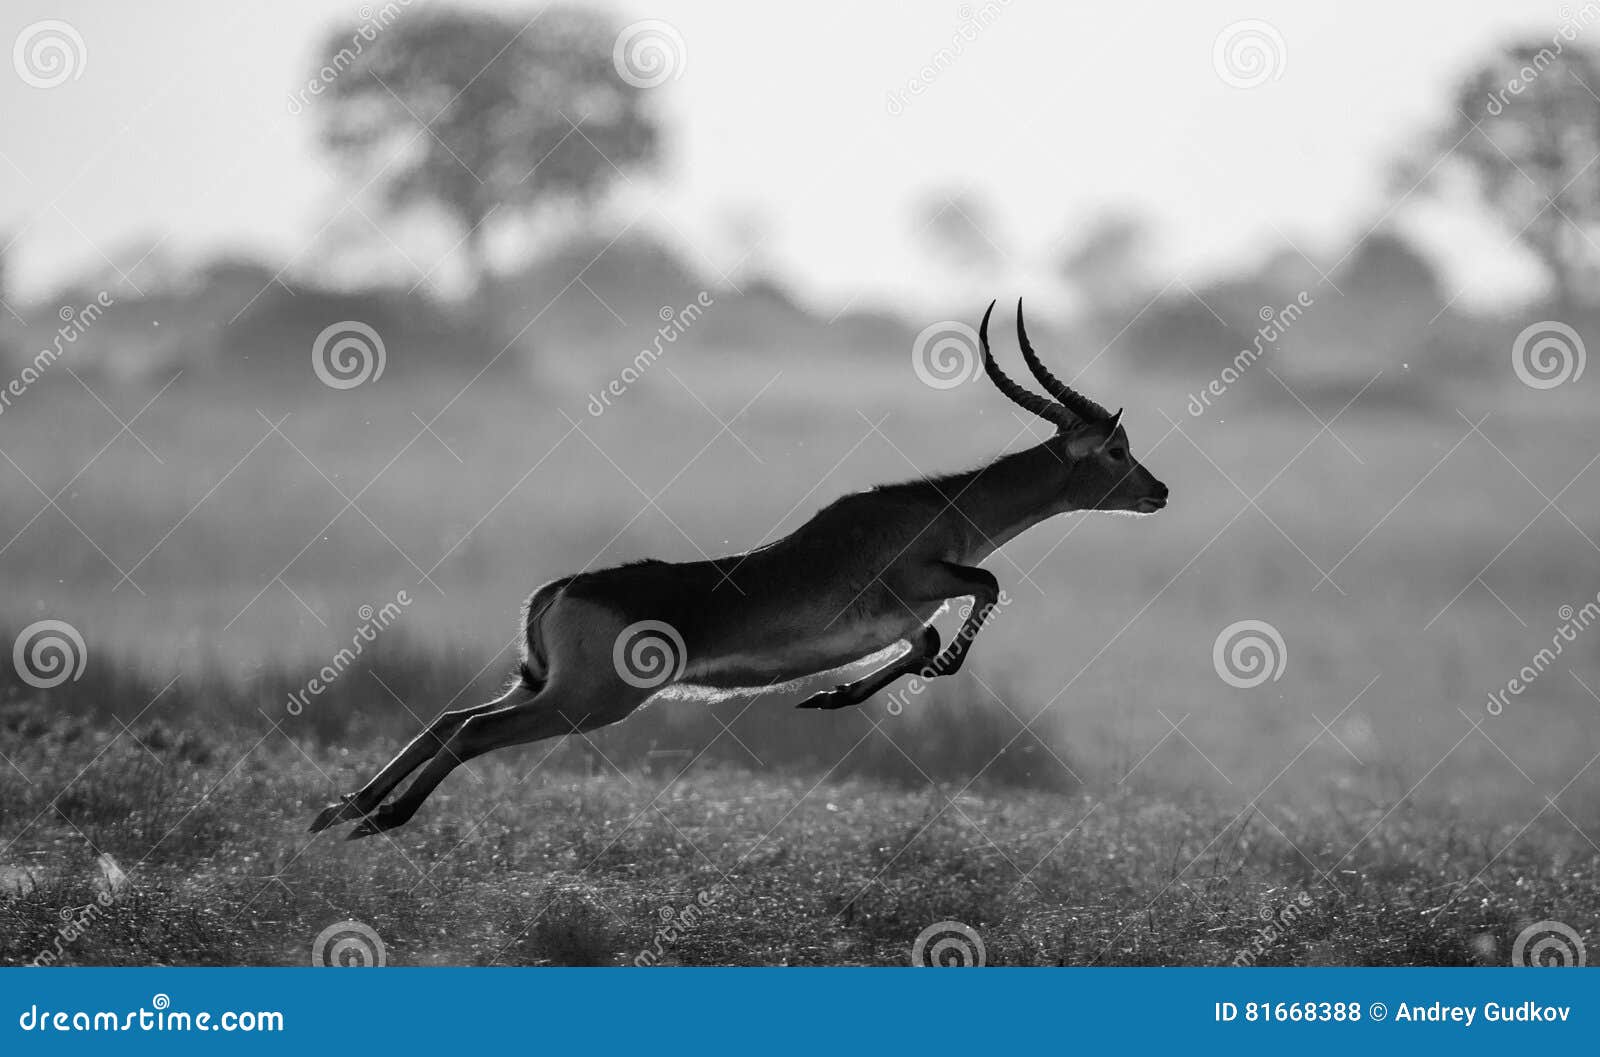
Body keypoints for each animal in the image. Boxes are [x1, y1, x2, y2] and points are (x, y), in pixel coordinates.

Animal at [311, 300, 1169, 838]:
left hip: (539, 683)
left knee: (449, 717)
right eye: (1116, 449)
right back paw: (378, 819)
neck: (939, 507)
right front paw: (843, 692)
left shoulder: (904, 618)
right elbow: (981, 595)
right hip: (587, 703)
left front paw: (828, 696)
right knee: (473, 730)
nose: (1159, 491)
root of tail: (556, 590)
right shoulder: (918, 582)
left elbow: (923, 648)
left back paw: (341, 807)